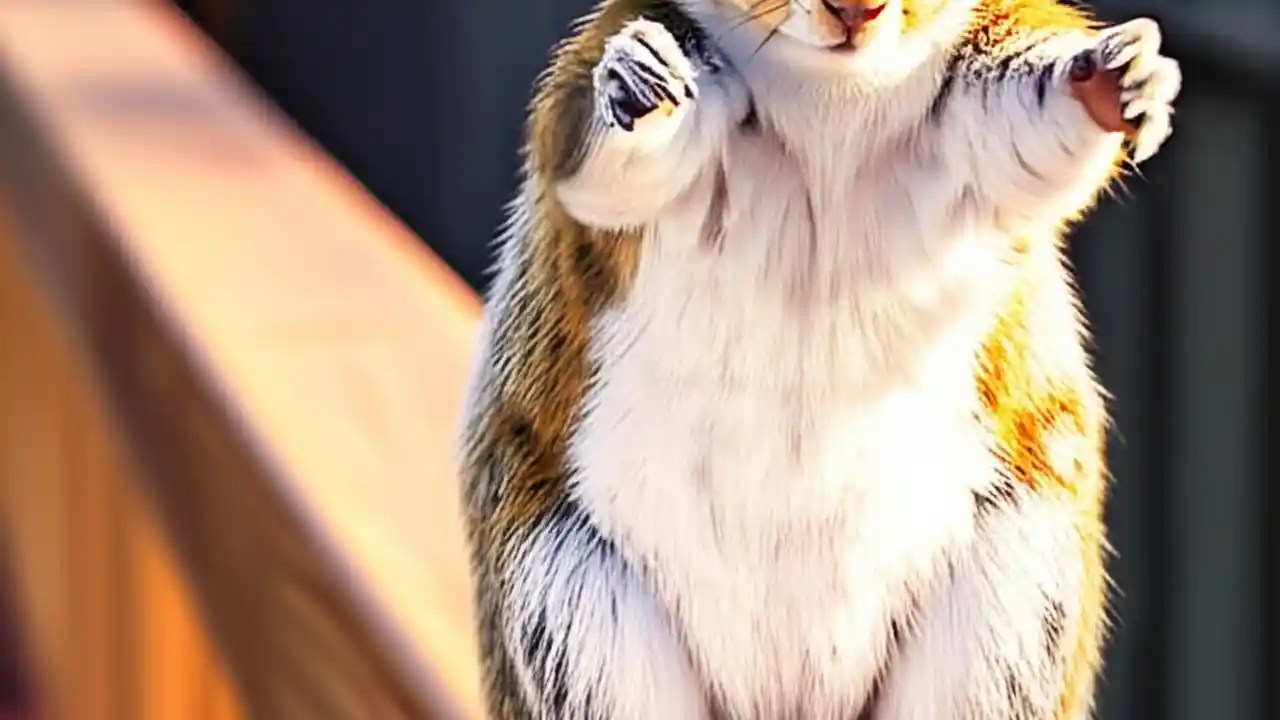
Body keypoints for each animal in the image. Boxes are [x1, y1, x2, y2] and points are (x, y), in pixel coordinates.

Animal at [459, 1, 1181, 718]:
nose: (858, 12)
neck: (832, 96)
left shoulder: (969, 97)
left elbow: (1028, 126)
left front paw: (1116, 78)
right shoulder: (590, 115)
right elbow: (596, 163)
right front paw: (638, 83)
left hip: (1007, 604)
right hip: (575, 610)